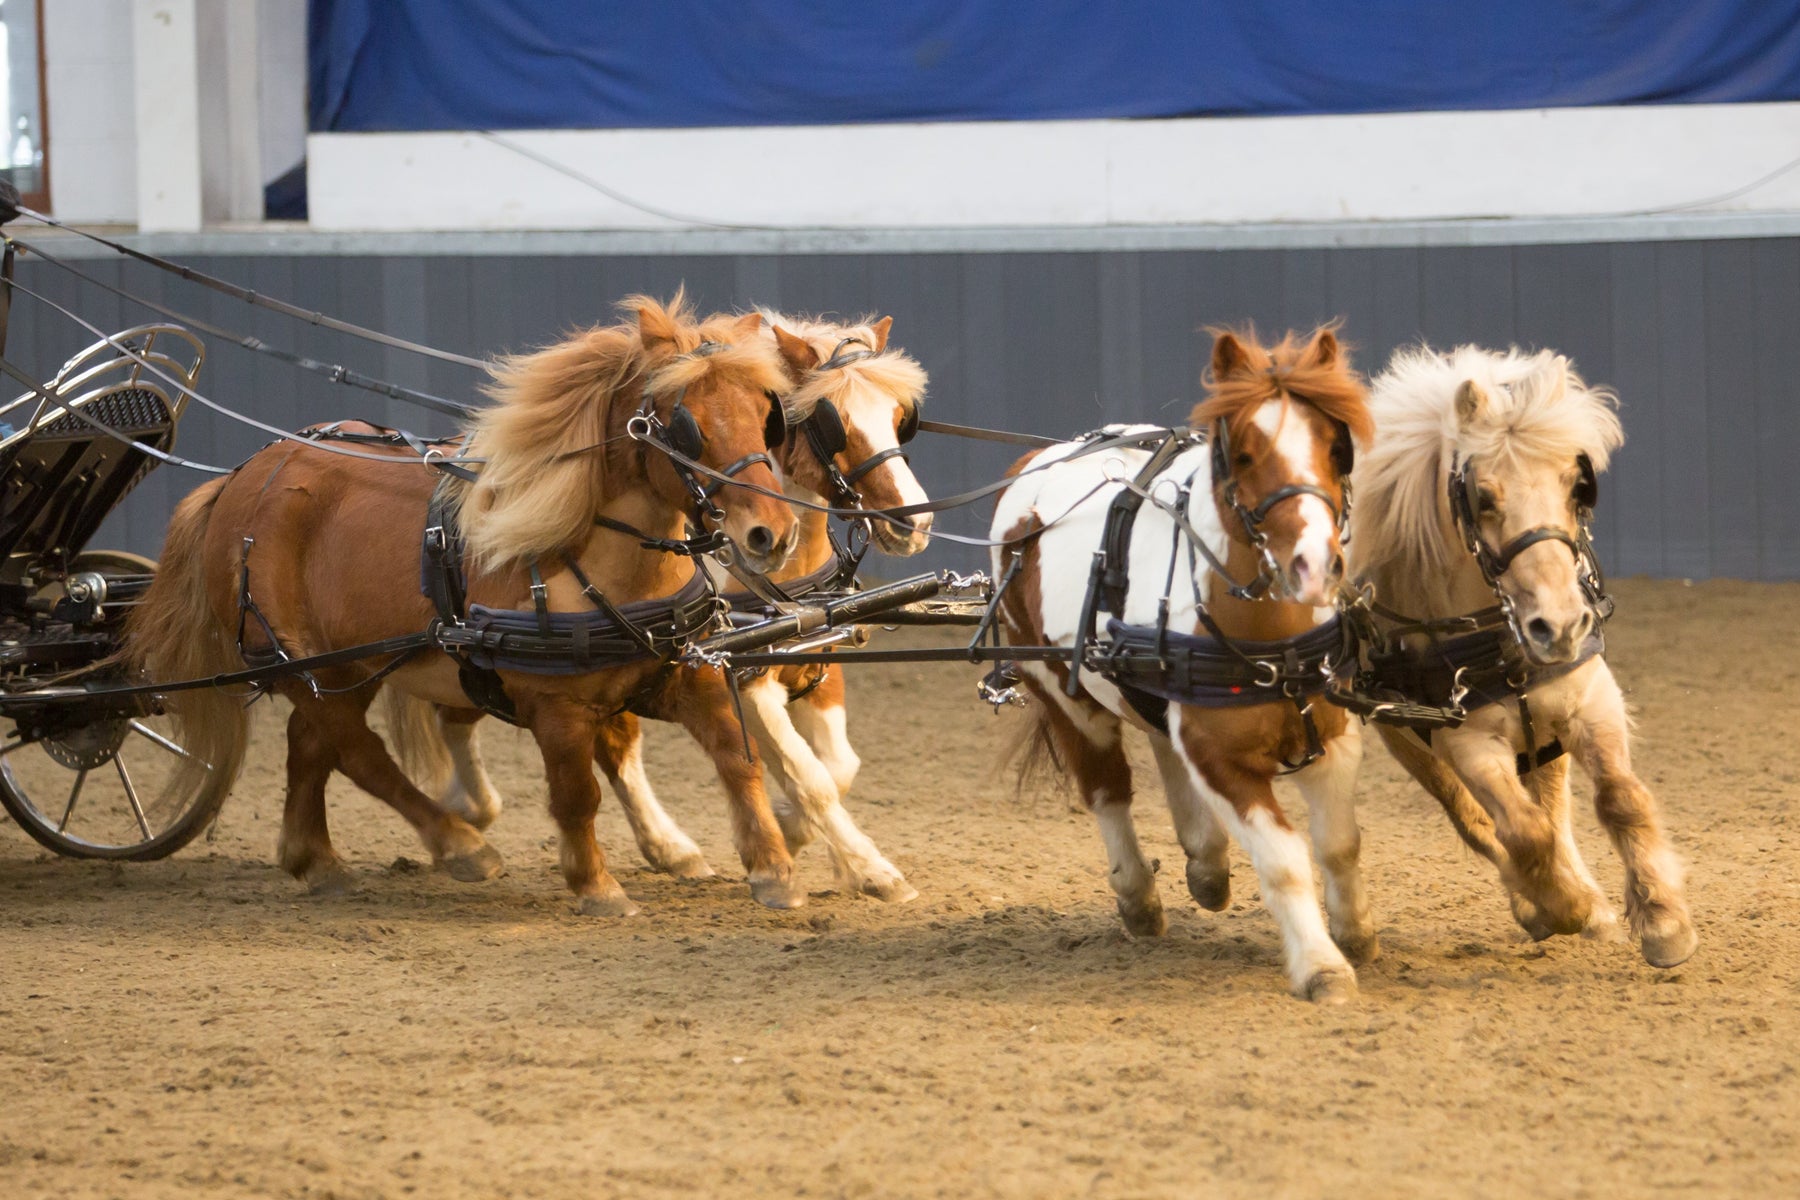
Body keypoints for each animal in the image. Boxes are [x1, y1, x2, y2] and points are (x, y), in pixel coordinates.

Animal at [125, 293, 811, 915]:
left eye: (766, 414)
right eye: (686, 425)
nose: (771, 534)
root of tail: (238, 478)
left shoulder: (681, 671)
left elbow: (736, 756)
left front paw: (771, 868)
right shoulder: (554, 705)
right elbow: (576, 794)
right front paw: (596, 886)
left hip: (344, 668)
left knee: (311, 744)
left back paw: (314, 860)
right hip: (302, 663)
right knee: (357, 751)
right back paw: (460, 846)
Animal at [389, 312, 933, 901]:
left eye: (900, 417)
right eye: (832, 422)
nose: (916, 521)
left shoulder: (814, 658)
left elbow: (838, 766)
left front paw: (812, 843)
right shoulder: (740, 674)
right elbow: (810, 777)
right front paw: (852, 861)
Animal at [990, 325, 1376, 1002]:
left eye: (1336, 448)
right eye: (1242, 455)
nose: (1312, 566)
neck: (1269, 641)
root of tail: (1032, 467)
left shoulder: (1333, 734)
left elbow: (1337, 844)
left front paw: (1354, 934)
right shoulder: (1220, 759)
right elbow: (1284, 860)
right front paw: (1320, 967)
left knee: (1159, 738)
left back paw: (1206, 860)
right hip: (1059, 691)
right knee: (1107, 787)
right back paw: (1138, 897)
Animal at [1349, 345, 1696, 967]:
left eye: (1576, 485)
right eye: (1482, 498)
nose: (1557, 626)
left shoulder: (1590, 700)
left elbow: (1620, 798)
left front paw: (1662, 920)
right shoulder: (1467, 740)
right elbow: (1520, 831)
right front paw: (1565, 905)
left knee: (1552, 804)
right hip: (1403, 734)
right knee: (1475, 818)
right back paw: (1542, 901)